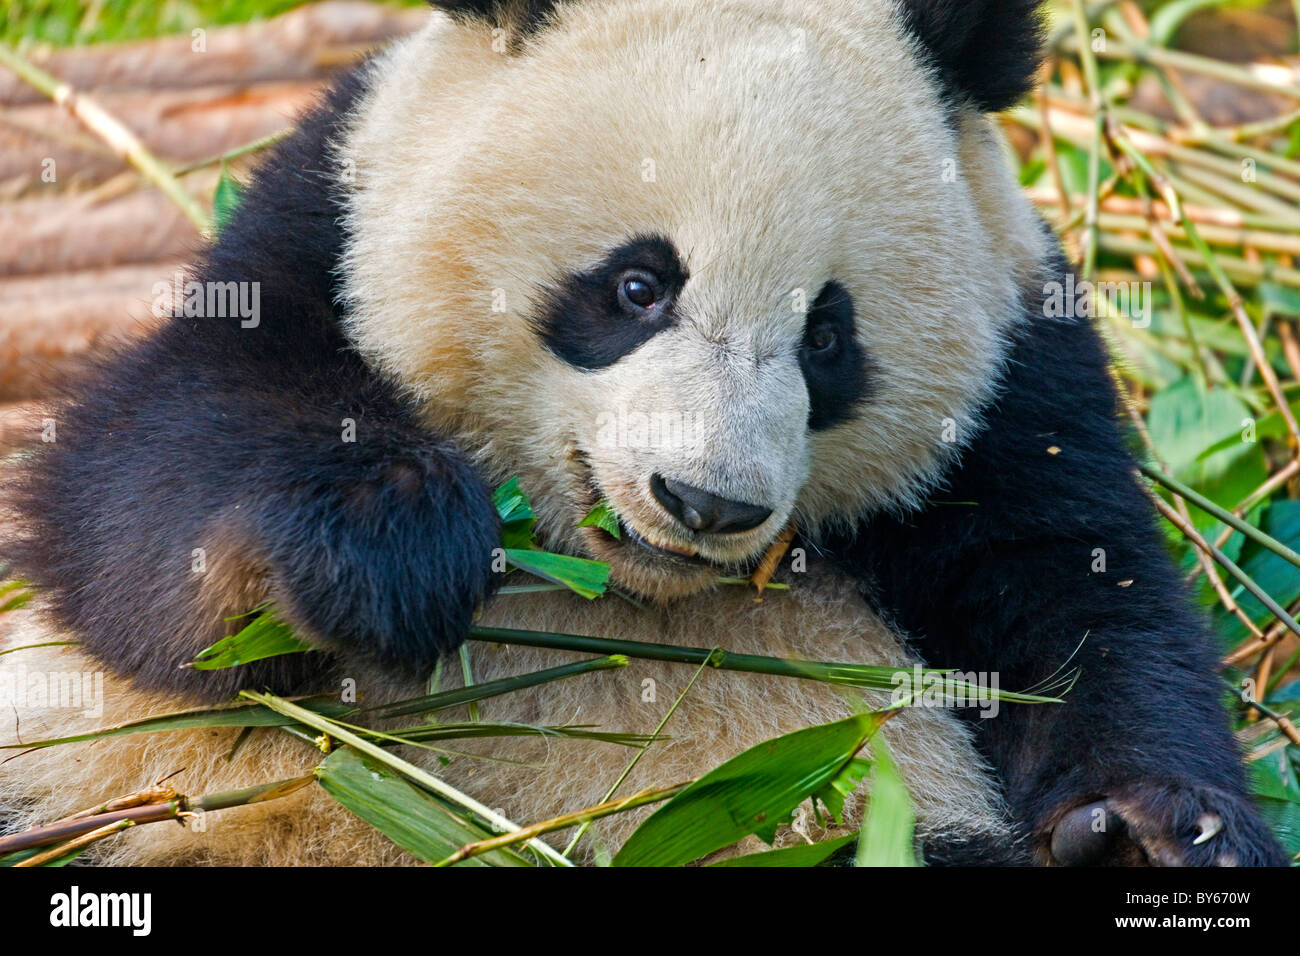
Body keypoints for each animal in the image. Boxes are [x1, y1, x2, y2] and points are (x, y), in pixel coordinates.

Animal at [0, 0, 1287, 867]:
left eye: (828, 335)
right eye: (636, 285)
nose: (704, 500)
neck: (632, 596)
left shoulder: (1019, 389)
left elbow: (1084, 610)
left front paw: (1153, 829)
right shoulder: (327, 226)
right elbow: (139, 510)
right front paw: (388, 542)